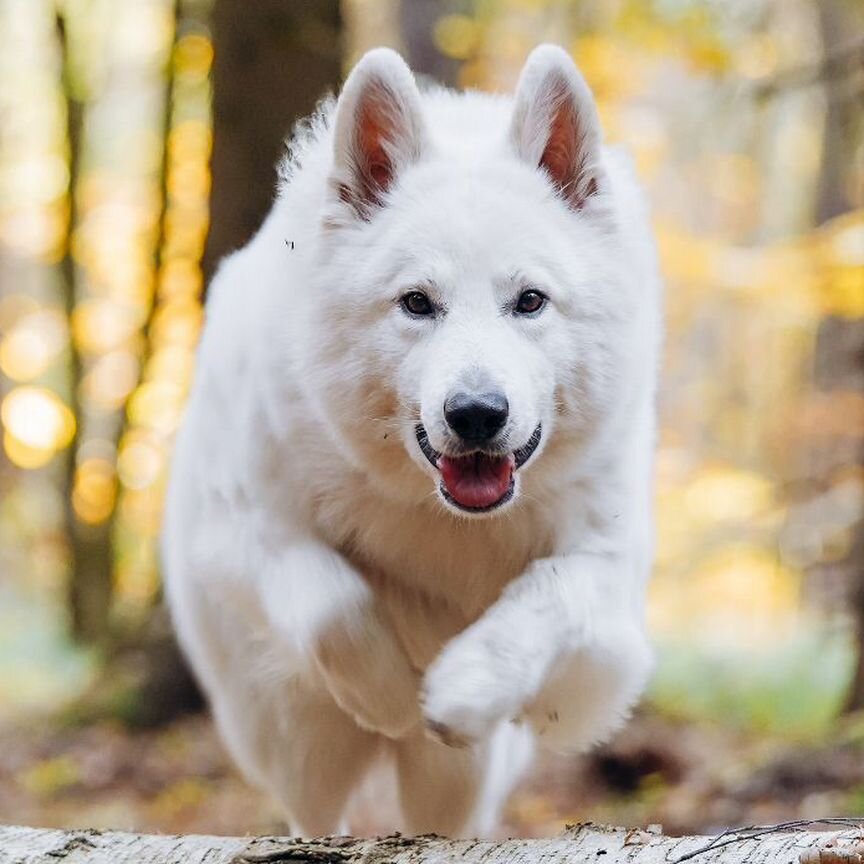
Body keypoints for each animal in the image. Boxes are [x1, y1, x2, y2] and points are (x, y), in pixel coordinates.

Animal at [164, 44, 660, 840]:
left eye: (529, 301)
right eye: (417, 303)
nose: (477, 414)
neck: (444, 516)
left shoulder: (606, 578)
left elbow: (547, 596)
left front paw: (461, 685)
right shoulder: (241, 529)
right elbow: (331, 601)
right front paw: (393, 693)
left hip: (457, 778)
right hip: (296, 737)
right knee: (316, 814)